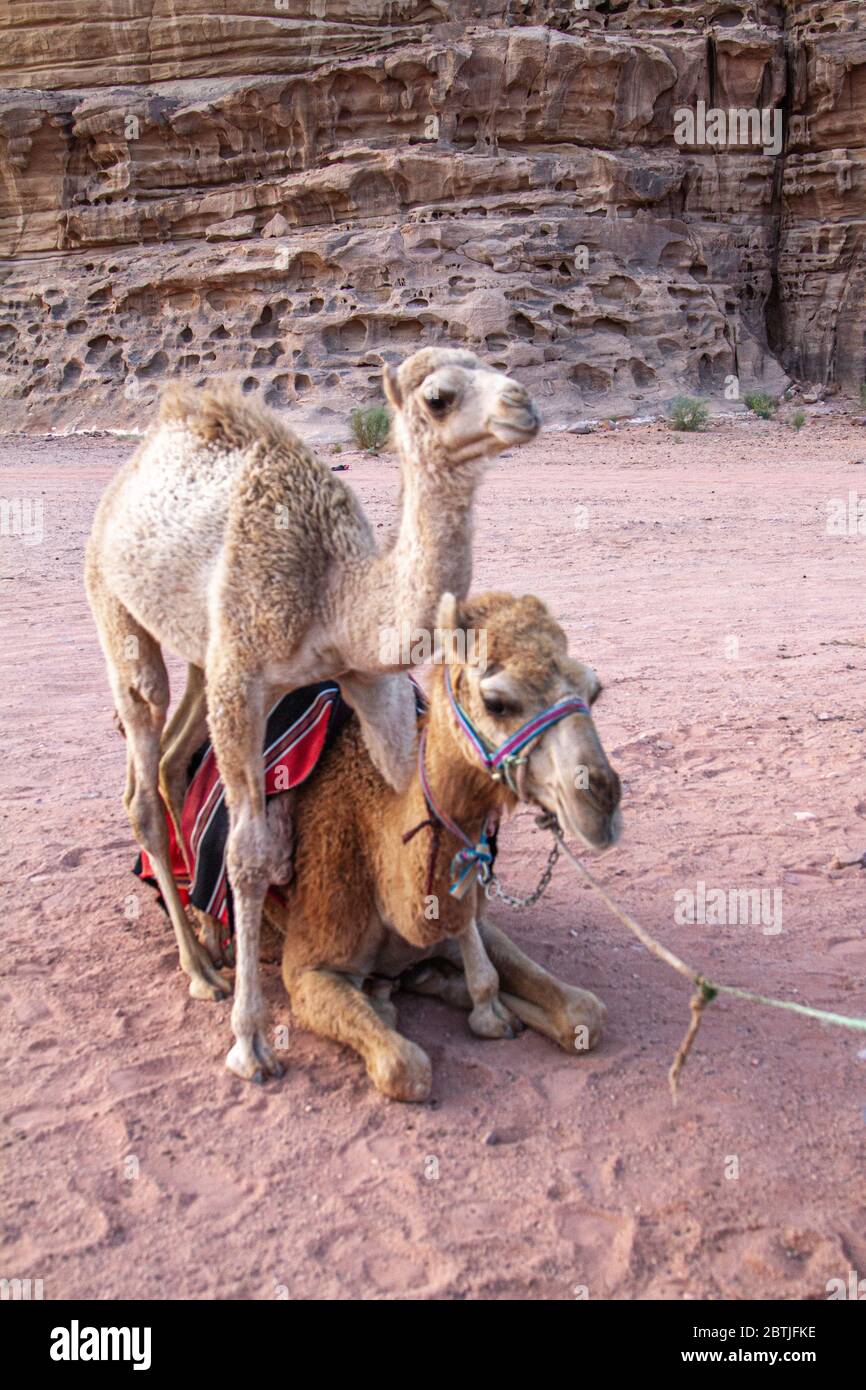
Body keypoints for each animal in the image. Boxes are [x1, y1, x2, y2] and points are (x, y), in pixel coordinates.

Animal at [84, 349, 539, 1083]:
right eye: (438, 398)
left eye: (495, 364)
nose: (522, 404)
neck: (335, 591)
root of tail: (133, 466)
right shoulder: (244, 676)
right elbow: (248, 856)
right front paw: (250, 1044)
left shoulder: (368, 678)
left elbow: (421, 793)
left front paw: (488, 1001)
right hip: (116, 606)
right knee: (143, 767)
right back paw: (199, 970)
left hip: (202, 654)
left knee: (176, 763)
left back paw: (210, 935)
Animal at [190, 590, 622, 1100]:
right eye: (496, 702)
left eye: (594, 690)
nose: (602, 800)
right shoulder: (309, 968)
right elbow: (406, 1068)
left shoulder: (471, 922)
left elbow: (585, 1013)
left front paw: (494, 1007)